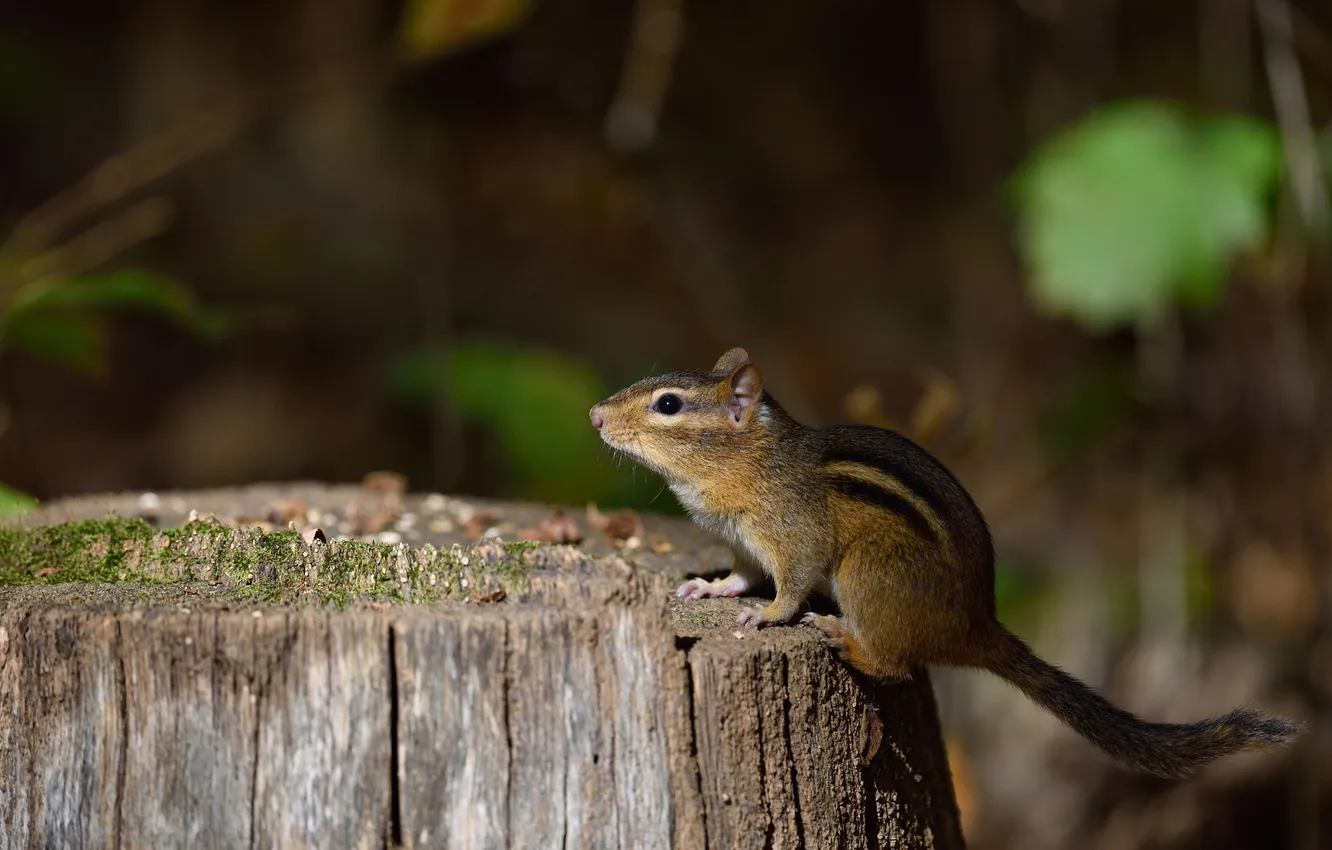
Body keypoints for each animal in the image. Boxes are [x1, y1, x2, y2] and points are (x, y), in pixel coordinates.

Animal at [588, 347, 1302, 778]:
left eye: (669, 404)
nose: (594, 415)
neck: (749, 463)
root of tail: (974, 626)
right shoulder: (741, 542)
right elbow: (741, 574)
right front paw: (708, 589)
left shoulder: (793, 537)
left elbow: (788, 587)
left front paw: (767, 618)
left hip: (871, 572)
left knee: (896, 665)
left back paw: (842, 636)